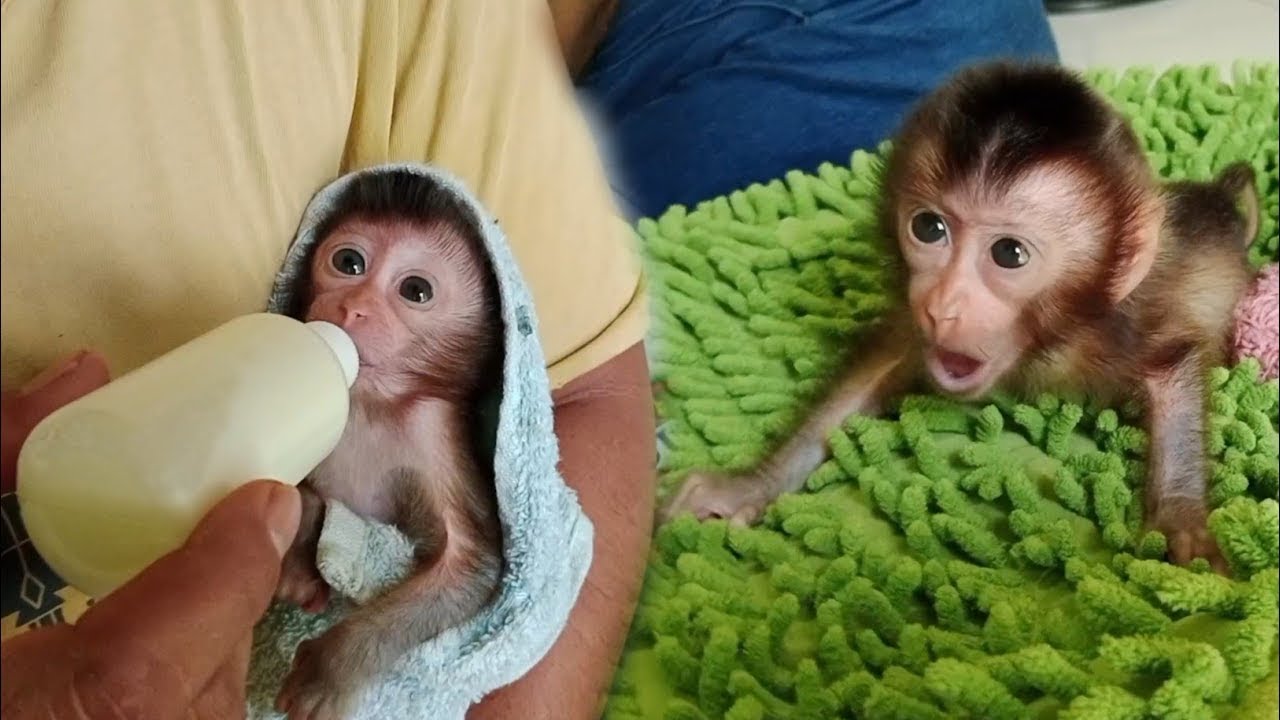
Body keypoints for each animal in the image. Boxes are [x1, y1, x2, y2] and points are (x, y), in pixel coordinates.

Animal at [271, 171, 505, 720]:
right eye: (348, 263)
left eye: (415, 290)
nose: (353, 308)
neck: (370, 402)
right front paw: (299, 560)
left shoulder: (437, 440)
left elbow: (465, 563)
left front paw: (330, 668)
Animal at [661, 61, 1260, 575]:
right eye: (929, 229)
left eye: (1009, 255)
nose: (942, 305)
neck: (1046, 340)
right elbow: (879, 366)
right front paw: (749, 486)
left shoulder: (1122, 331)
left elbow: (1173, 369)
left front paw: (1181, 521)